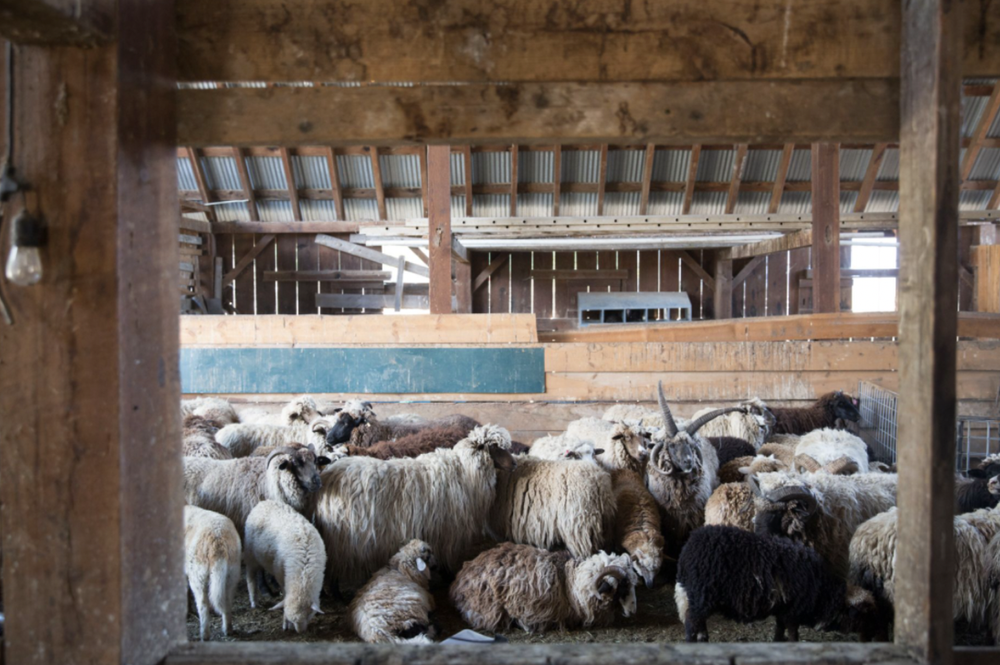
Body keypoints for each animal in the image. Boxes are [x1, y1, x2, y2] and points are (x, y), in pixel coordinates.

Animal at [183, 506, 241, 641]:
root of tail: (218, 540)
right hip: (232, 573)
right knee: (227, 600)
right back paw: (228, 629)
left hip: (198, 575)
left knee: (203, 605)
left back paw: (204, 635)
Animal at [244, 500, 327, 634]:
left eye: (309, 615)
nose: (300, 632)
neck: (302, 575)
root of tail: (263, 502)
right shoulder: (280, 573)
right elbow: (284, 595)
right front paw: (285, 624)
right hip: (250, 554)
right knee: (250, 577)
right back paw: (254, 601)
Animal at [313, 424, 516, 585]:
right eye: (494, 447)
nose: (514, 464)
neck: (464, 470)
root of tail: (328, 477)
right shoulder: (448, 532)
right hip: (345, 540)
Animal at [676, 525, 882, 642]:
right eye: (865, 614)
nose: (873, 634)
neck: (824, 593)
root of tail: (687, 548)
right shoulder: (793, 610)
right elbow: (792, 634)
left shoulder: (783, 609)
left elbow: (779, 629)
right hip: (702, 594)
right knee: (691, 621)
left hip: (698, 597)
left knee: (697, 620)